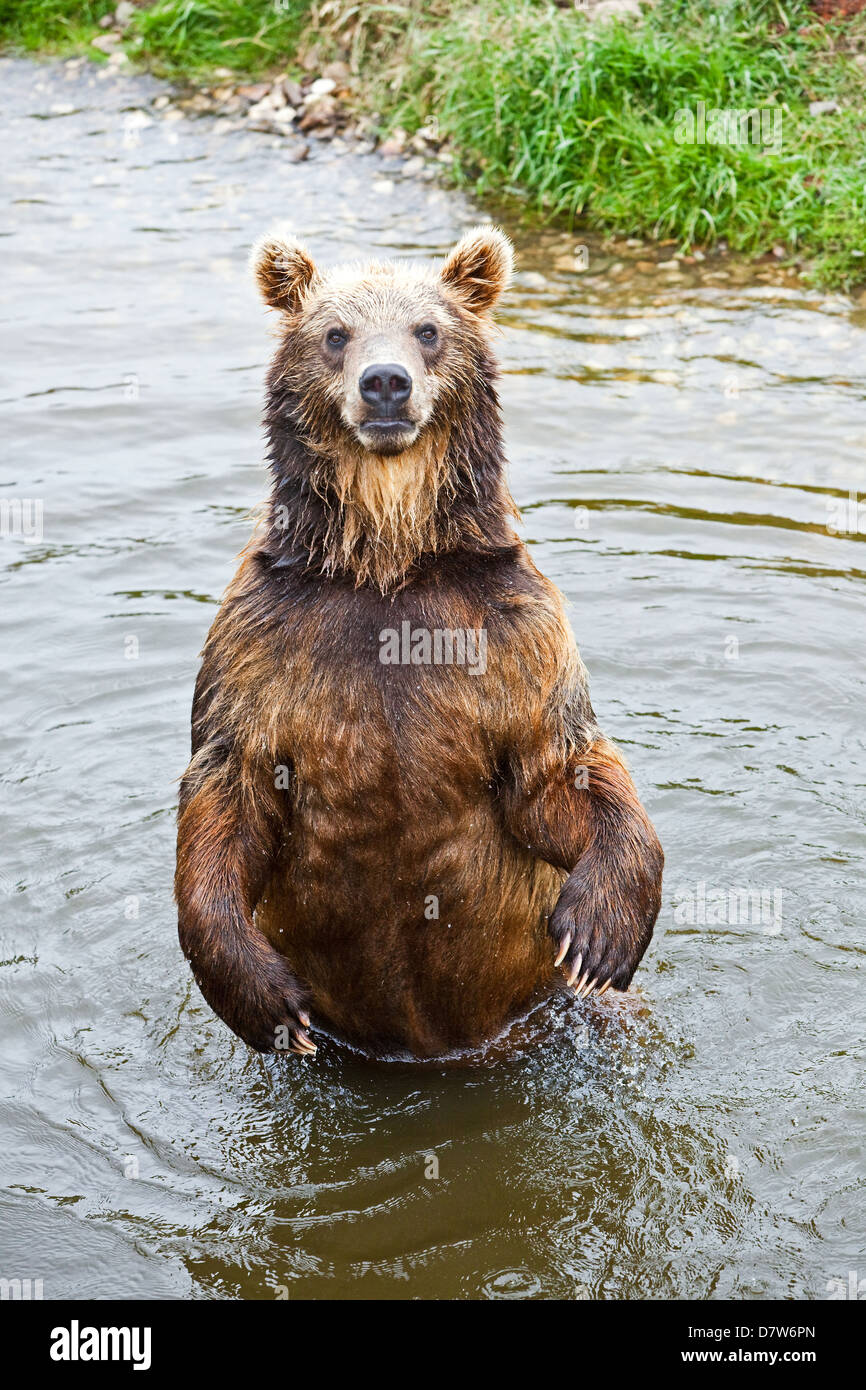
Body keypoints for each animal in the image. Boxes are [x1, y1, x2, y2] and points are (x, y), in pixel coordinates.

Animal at [175, 224, 664, 1061]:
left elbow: (560, 769)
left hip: (552, 1007)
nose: (385, 383)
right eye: (336, 334)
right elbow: (228, 787)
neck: (389, 563)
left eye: (428, 329)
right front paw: (264, 999)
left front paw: (600, 933)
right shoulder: (264, 637)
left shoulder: (508, 629)